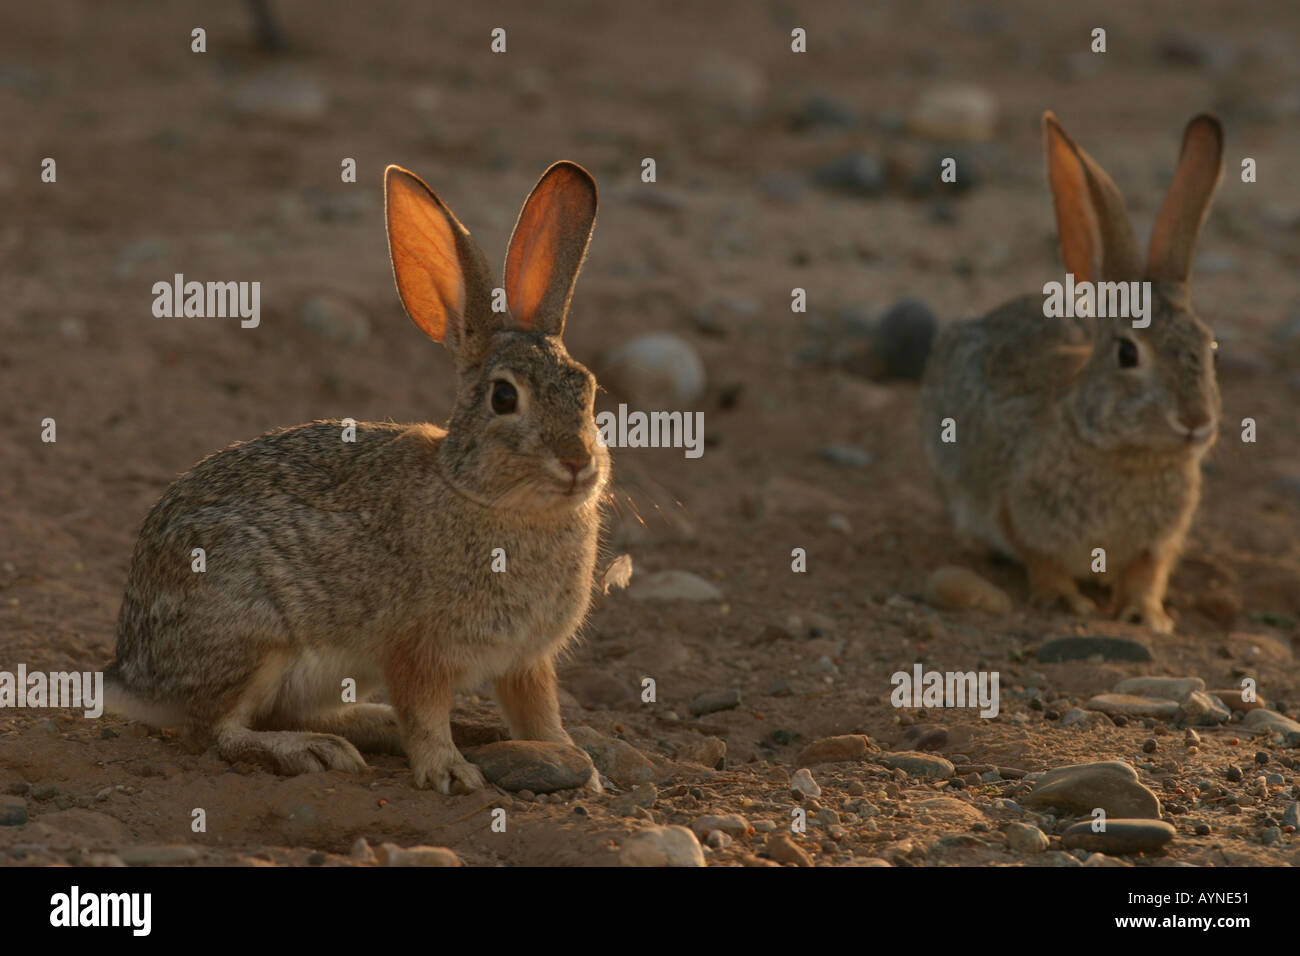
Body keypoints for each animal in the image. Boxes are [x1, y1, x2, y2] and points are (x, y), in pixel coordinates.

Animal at [105, 161, 609, 793]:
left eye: (589, 390)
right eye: (503, 397)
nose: (577, 461)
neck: (487, 497)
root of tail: (132, 670)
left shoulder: (527, 661)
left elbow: (540, 714)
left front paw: (579, 765)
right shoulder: (415, 650)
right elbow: (423, 710)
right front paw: (448, 773)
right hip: (250, 634)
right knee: (216, 731)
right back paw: (314, 751)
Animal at [918, 112, 1224, 634]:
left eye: (1210, 347)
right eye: (1127, 354)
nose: (1195, 420)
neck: (1128, 455)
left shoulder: (1158, 543)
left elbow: (1147, 573)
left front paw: (1145, 615)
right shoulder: (1015, 507)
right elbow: (1039, 558)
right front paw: (1064, 599)